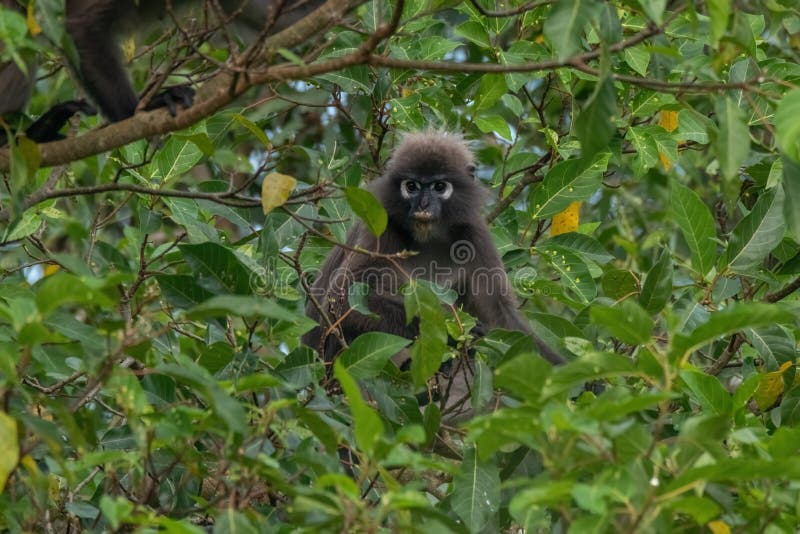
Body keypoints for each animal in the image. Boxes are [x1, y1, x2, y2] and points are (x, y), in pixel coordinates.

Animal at [302, 132, 565, 422]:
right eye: (412, 186)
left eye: (439, 187)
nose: (424, 205)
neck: (428, 236)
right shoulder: (382, 226)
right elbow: (340, 300)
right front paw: (455, 334)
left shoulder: (474, 235)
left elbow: (502, 316)